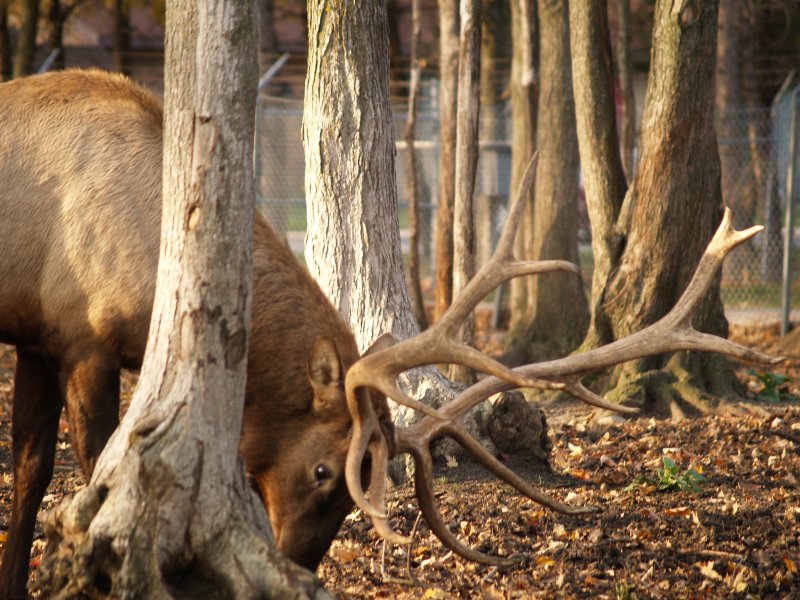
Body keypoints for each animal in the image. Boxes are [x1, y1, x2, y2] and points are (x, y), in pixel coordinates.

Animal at [0, 69, 779, 598]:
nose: (296, 563)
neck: (150, 266)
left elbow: (29, 474)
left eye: (360, 492)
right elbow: (87, 468)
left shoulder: (39, 339)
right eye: (325, 470)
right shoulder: (81, 340)